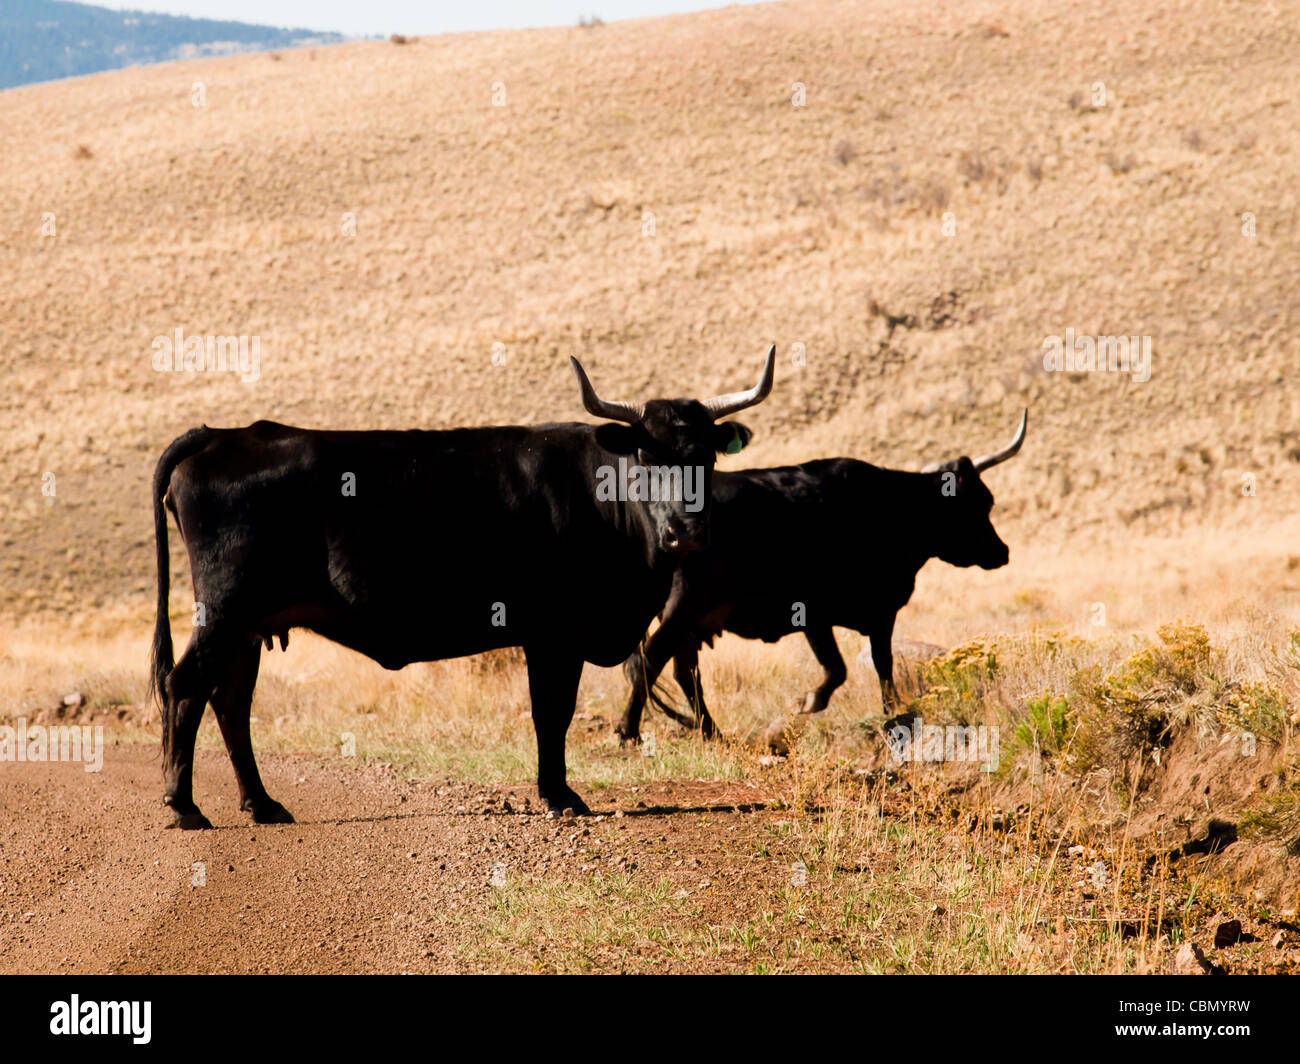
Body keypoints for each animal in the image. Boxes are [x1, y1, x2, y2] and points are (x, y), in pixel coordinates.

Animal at [148, 348, 775, 827]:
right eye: (646, 456)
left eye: (706, 456)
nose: (685, 531)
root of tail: (223, 436)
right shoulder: (553, 635)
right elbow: (552, 713)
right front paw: (560, 796)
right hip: (225, 612)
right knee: (186, 687)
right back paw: (184, 807)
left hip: (248, 625)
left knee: (230, 701)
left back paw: (262, 804)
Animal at [616, 411, 1027, 743]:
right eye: (979, 503)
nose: (1003, 552)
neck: (892, 506)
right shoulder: (846, 615)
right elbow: (851, 668)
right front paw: (815, 702)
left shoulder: (857, 618)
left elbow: (872, 667)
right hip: (683, 606)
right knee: (651, 661)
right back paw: (629, 729)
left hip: (693, 619)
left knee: (683, 671)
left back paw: (710, 731)